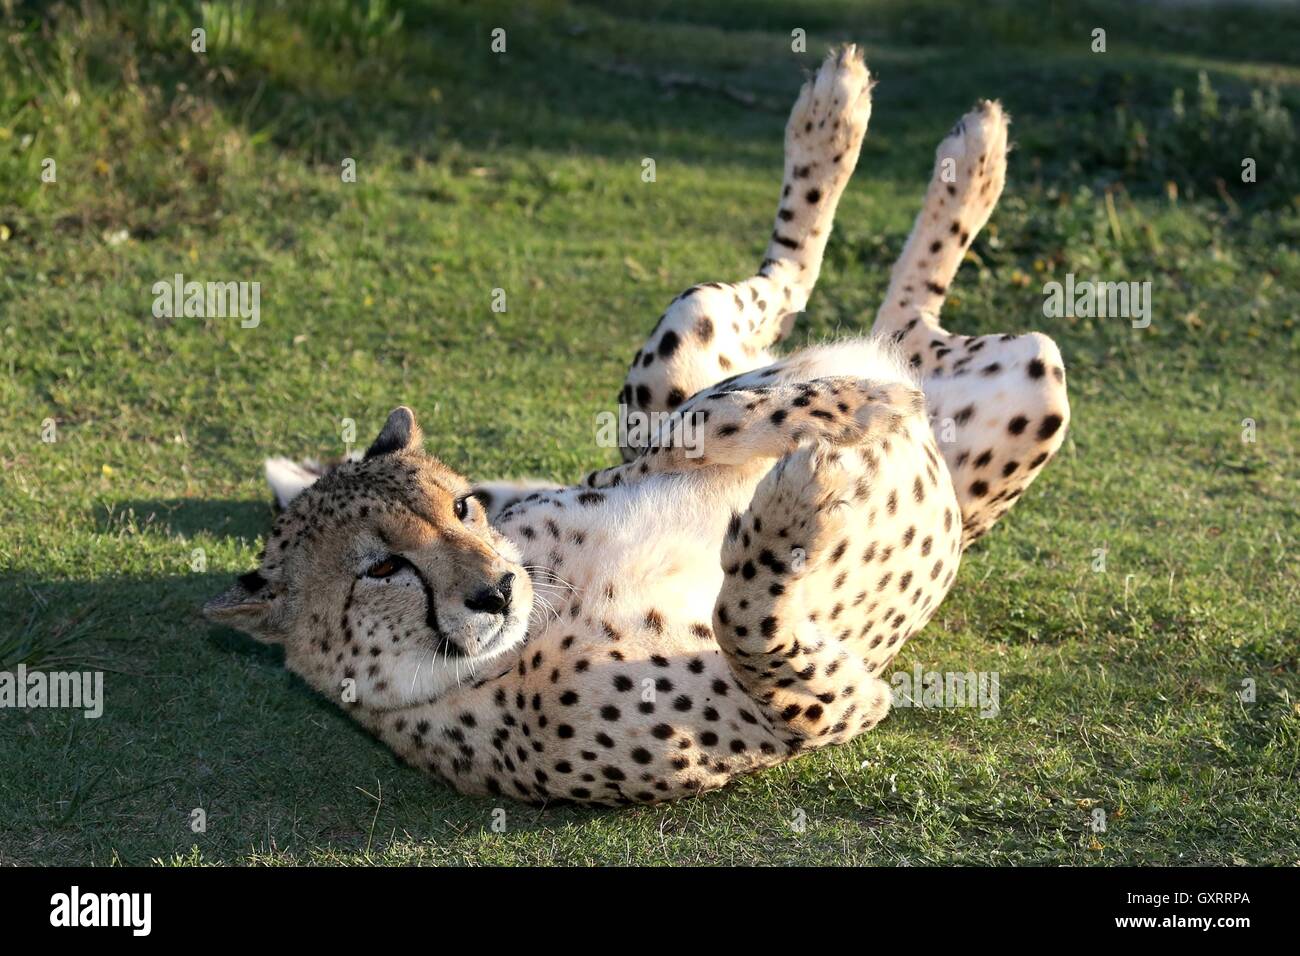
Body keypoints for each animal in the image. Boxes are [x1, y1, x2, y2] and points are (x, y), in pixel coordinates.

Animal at [204, 47, 1070, 806]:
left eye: (460, 508)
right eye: (382, 569)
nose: (495, 589)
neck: (541, 622)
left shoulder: (634, 463)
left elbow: (713, 420)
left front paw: (848, 405)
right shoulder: (835, 704)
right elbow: (743, 618)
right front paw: (798, 504)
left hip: (709, 324)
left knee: (821, 298)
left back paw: (887, 140)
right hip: (1037, 383)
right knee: (895, 319)